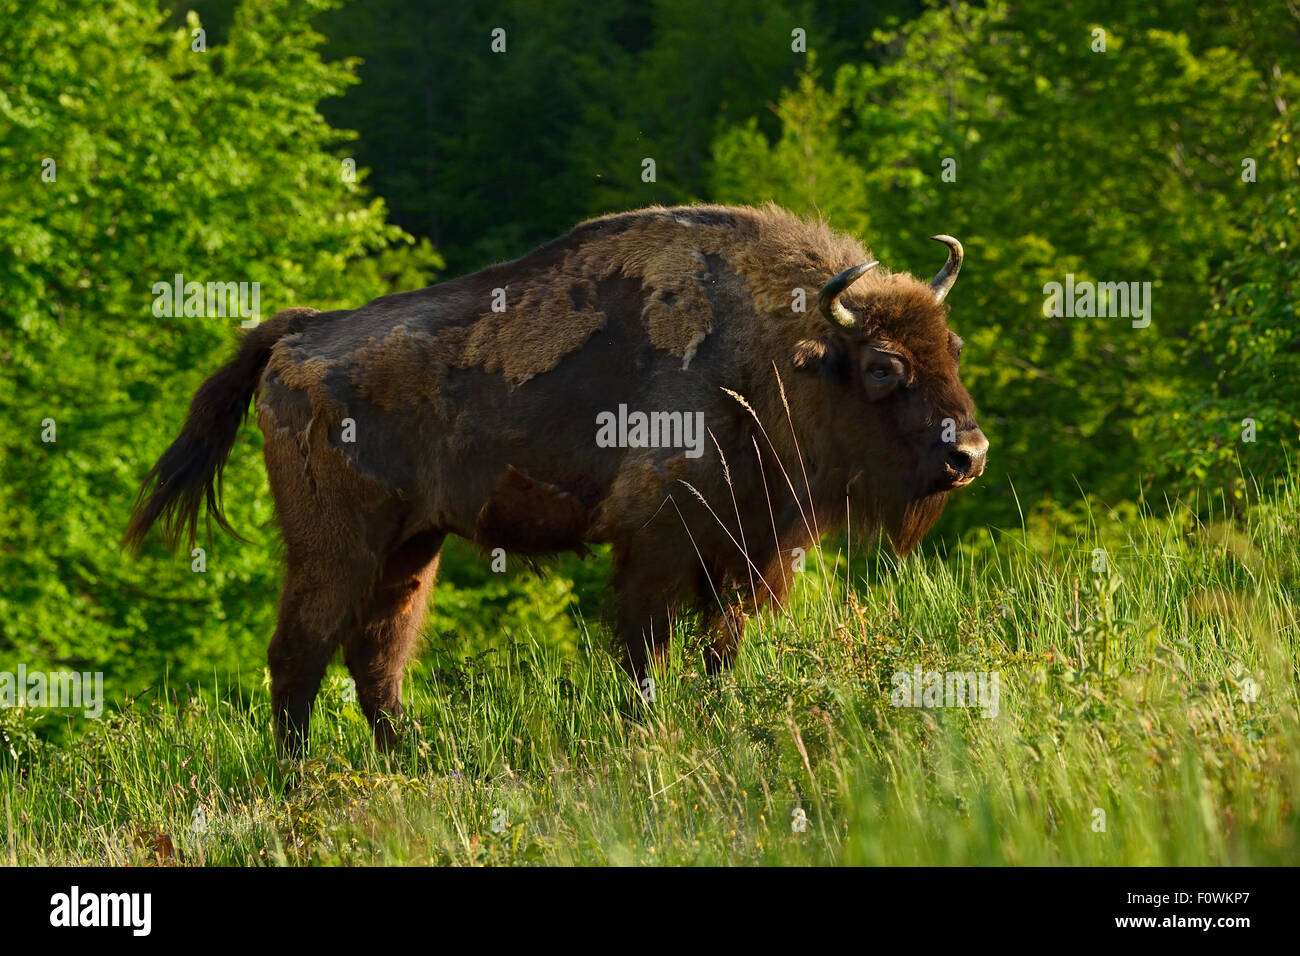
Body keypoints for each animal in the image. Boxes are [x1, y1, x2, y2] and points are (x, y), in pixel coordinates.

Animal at [125, 203, 987, 756]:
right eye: (883, 366)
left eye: (953, 346)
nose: (970, 455)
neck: (775, 349)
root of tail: (299, 335)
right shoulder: (657, 543)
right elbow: (646, 649)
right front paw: (647, 729)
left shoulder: (750, 552)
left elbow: (720, 649)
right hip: (335, 548)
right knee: (299, 653)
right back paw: (298, 779)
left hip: (412, 548)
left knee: (375, 658)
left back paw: (407, 761)